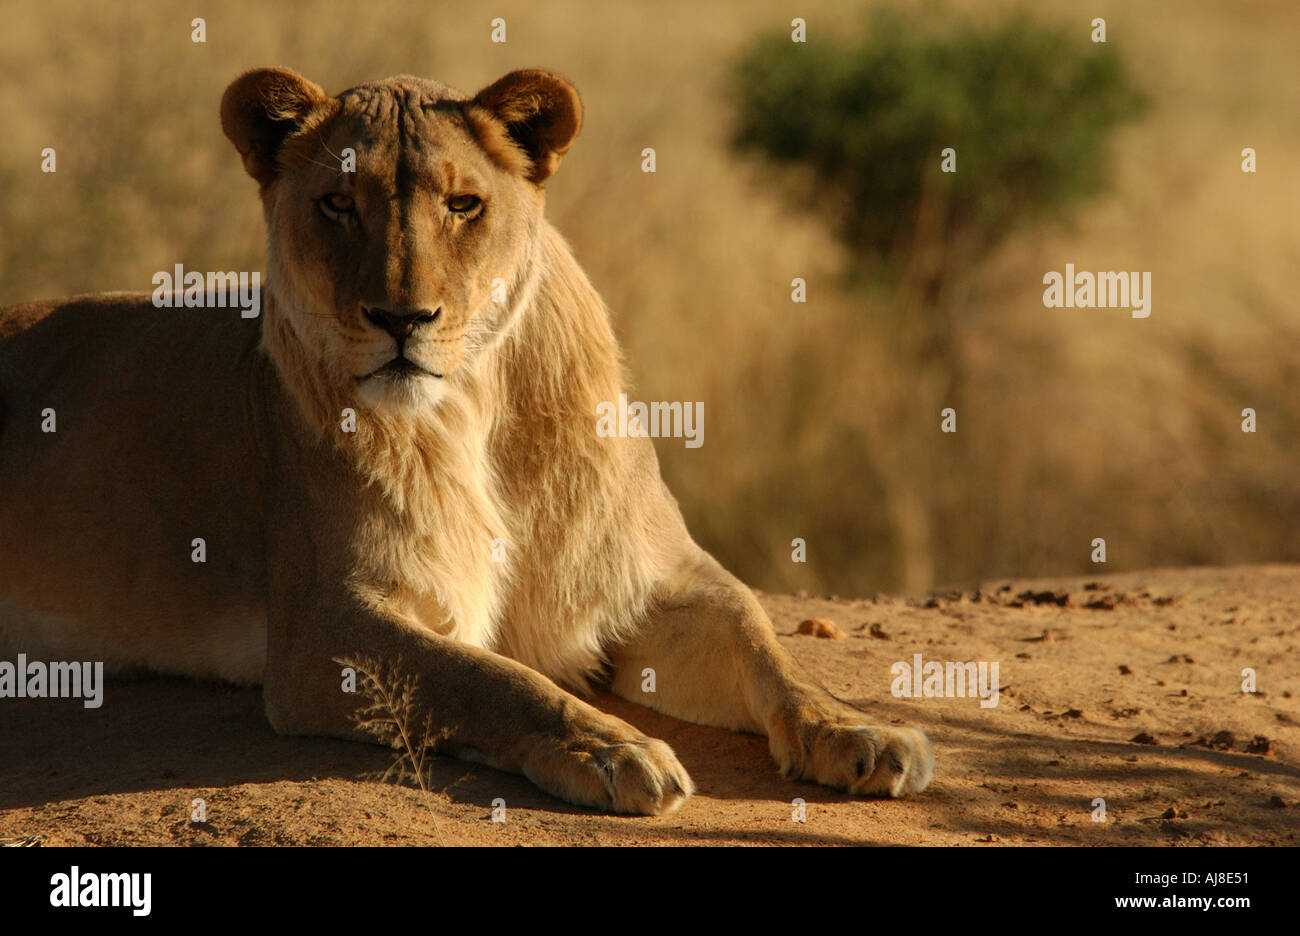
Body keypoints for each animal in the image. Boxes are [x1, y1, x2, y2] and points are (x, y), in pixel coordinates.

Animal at [0, 67, 932, 814]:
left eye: (462, 204)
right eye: (337, 204)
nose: (400, 317)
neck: (477, 414)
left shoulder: (639, 581)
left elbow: (761, 638)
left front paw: (862, 733)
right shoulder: (323, 629)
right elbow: (491, 679)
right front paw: (614, 748)